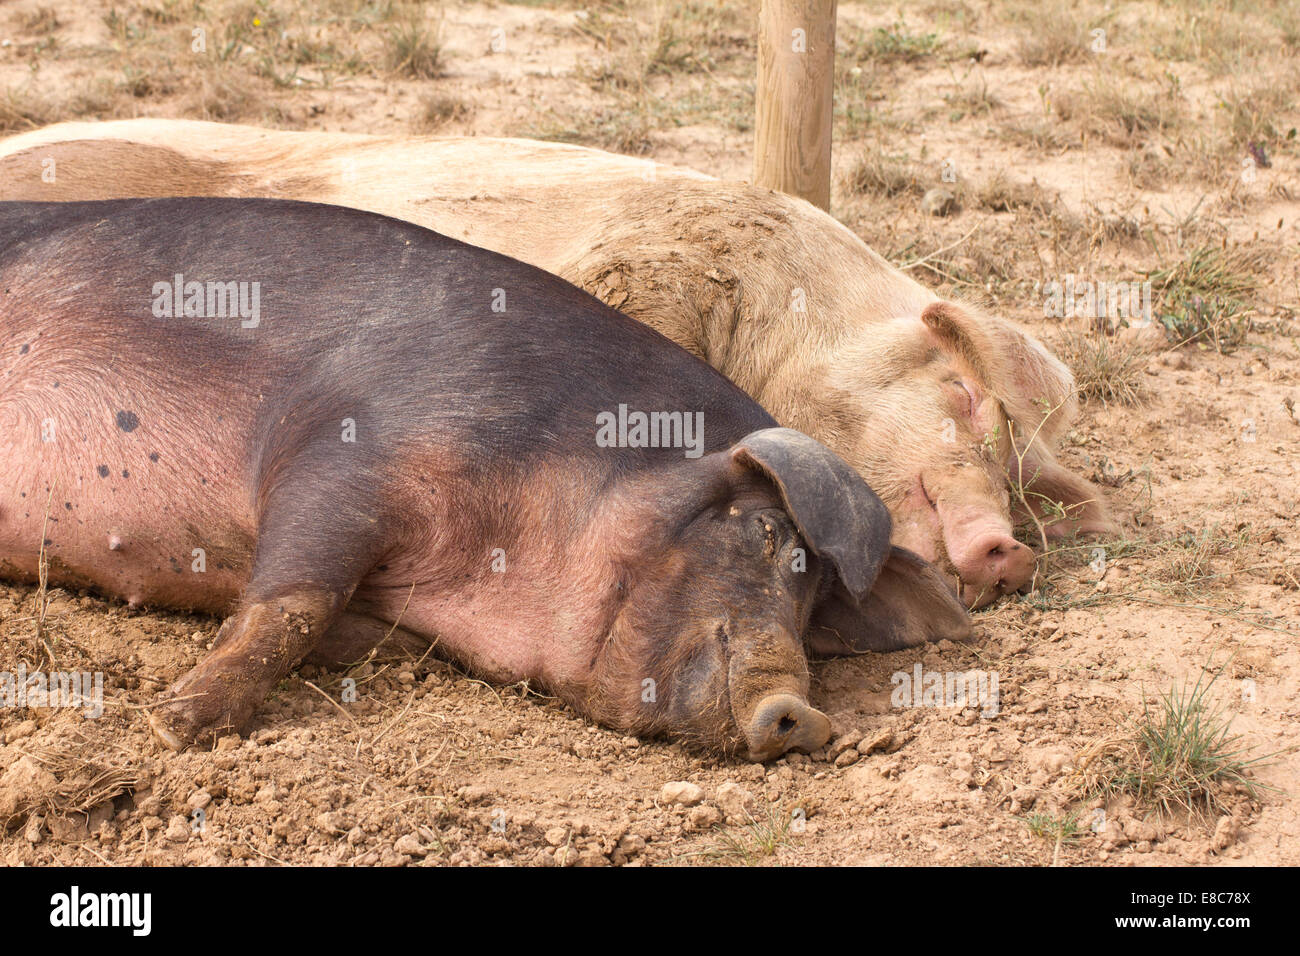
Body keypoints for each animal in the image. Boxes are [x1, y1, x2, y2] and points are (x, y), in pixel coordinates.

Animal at [0, 197, 971, 759]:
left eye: (818, 606)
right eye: (766, 533)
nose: (805, 715)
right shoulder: (349, 446)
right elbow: (294, 598)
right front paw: (173, 725)